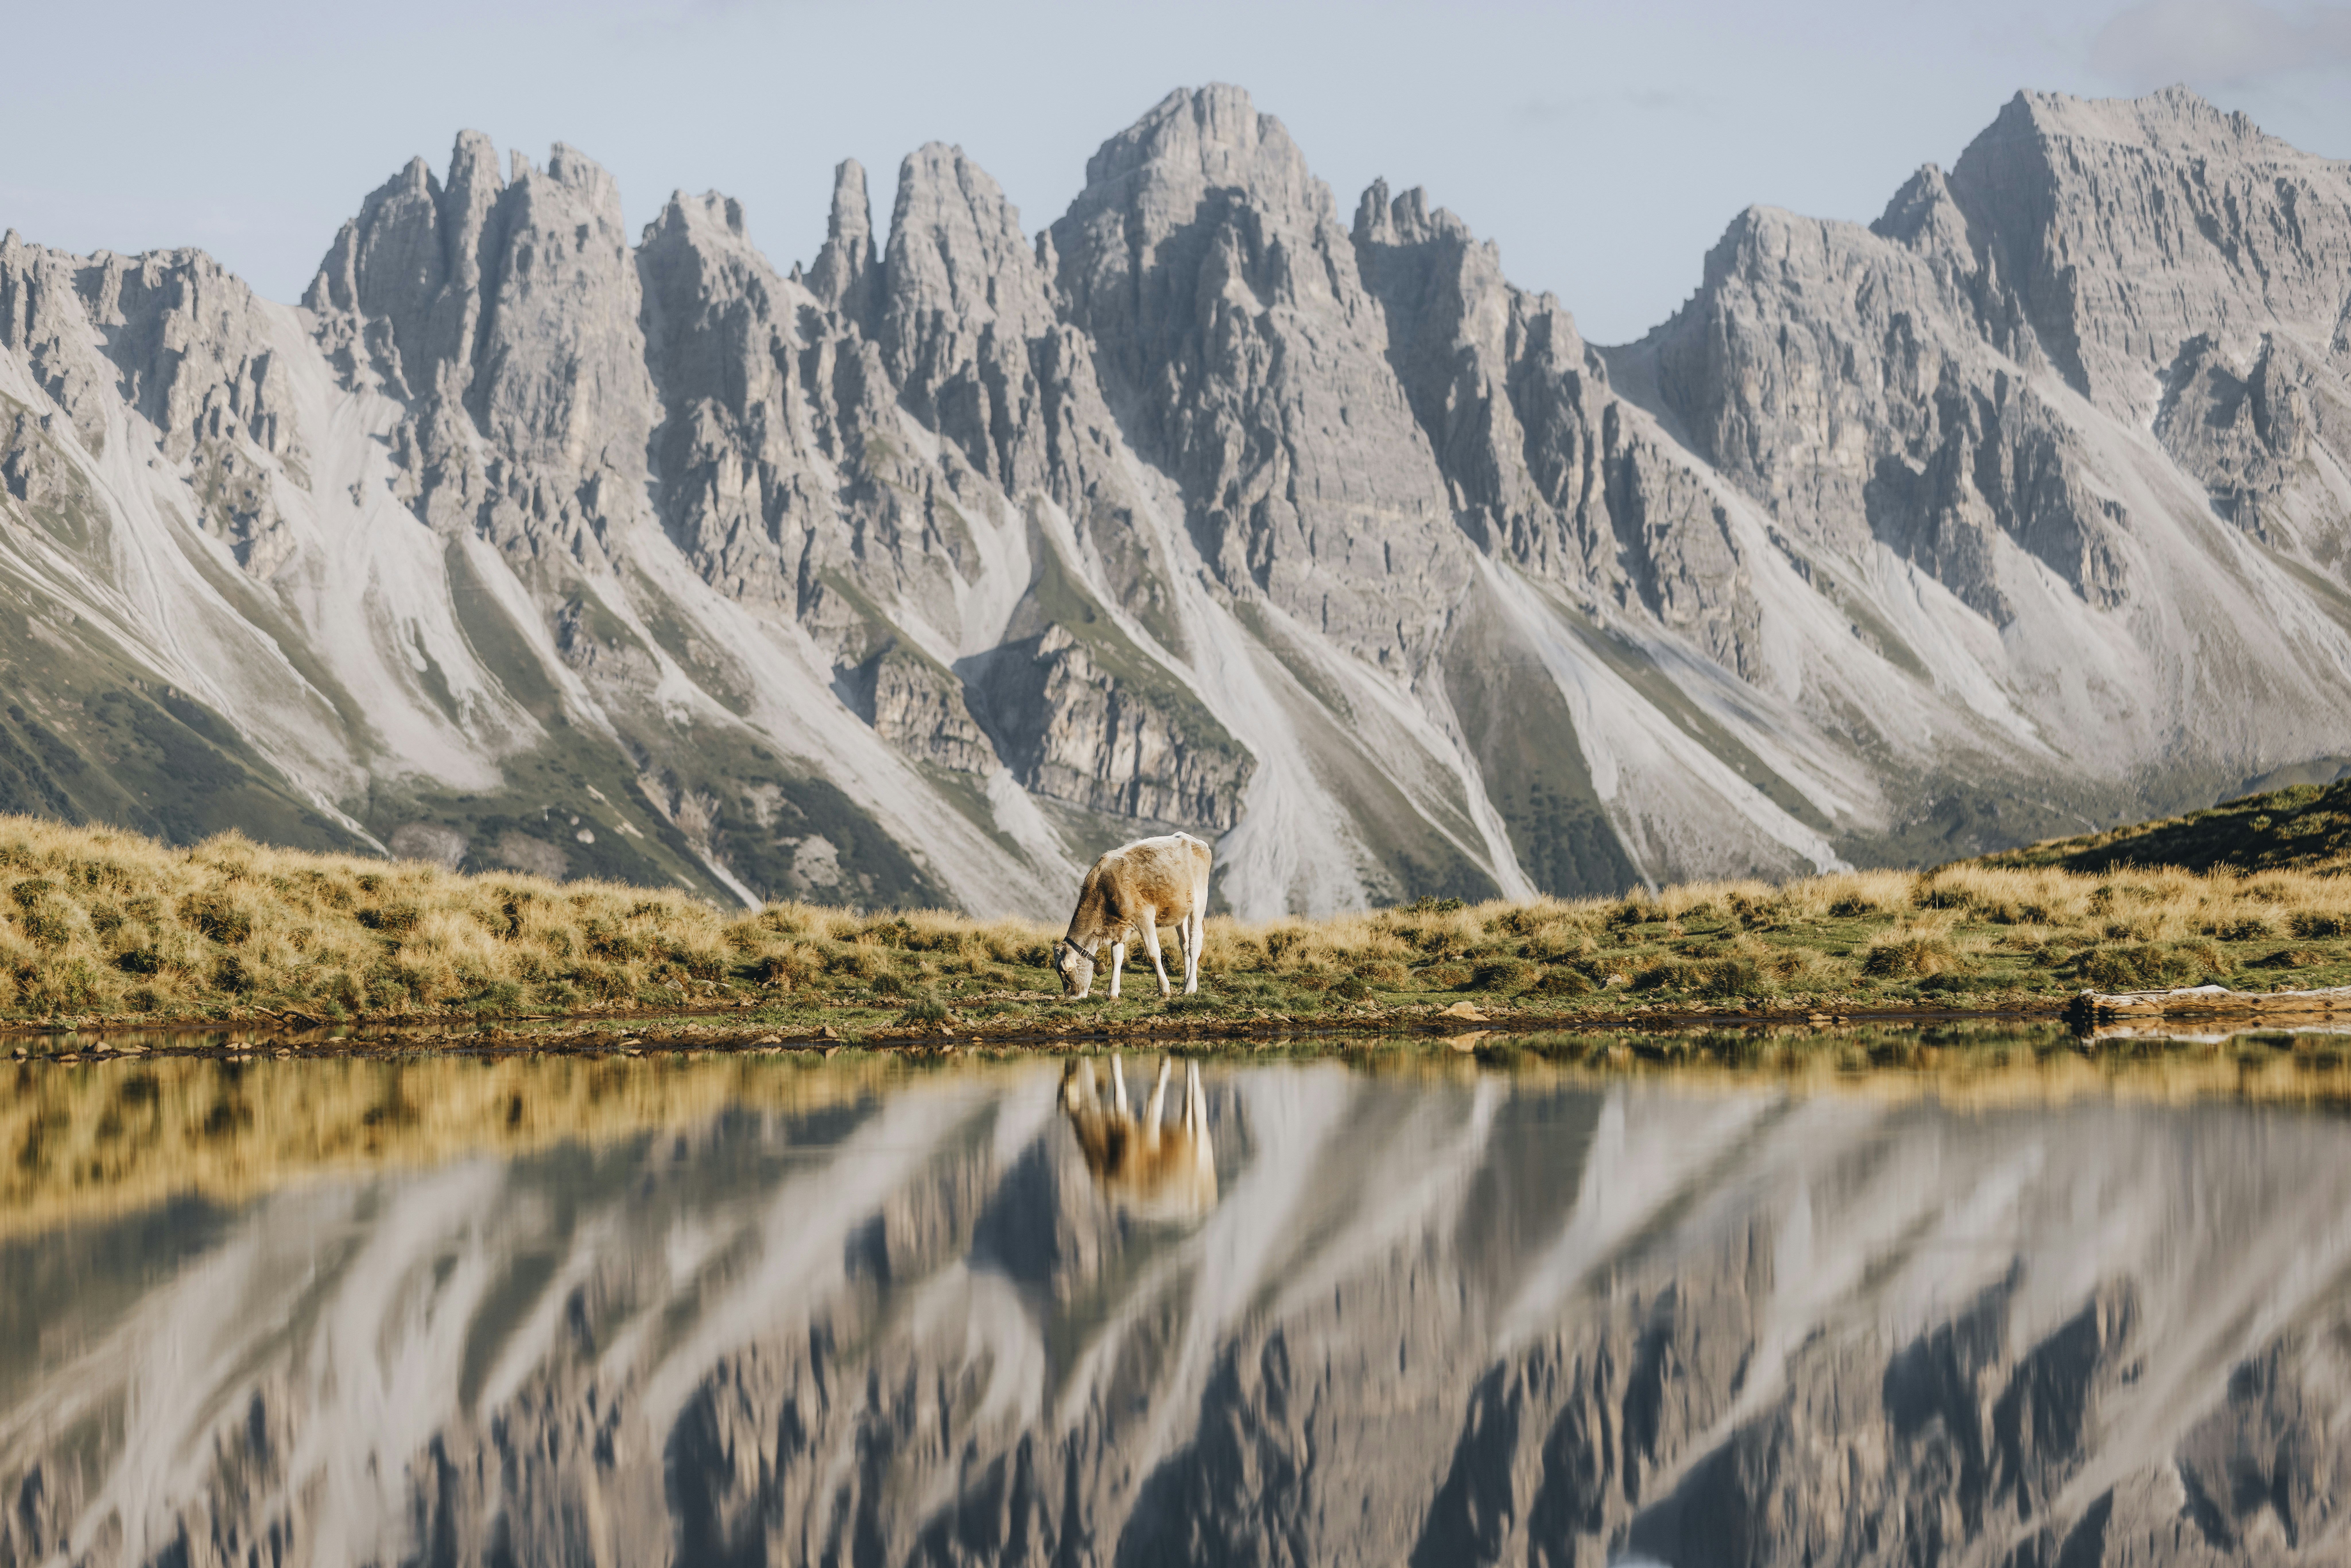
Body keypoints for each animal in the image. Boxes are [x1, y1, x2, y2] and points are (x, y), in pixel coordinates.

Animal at [1052, 832, 1212, 1000]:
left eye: (1065, 974)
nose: (1071, 998)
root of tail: (1190, 838)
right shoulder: (1119, 927)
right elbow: (1116, 957)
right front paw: (1112, 993)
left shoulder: (1145, 916)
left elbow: (1153, 953)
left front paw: (1164, 990)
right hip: (1181, 911)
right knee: (1185, 945)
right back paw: (1186, 985)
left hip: (1200, 901)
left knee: (1195, 942)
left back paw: (1191, 988)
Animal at [1060, 1053, 1217, 1219]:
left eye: (1071, 1070)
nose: (1073, 1062)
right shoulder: (1123, 1116)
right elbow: (1117, 1076)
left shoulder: (1148, 1135)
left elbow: (1155, 1099)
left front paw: (1165, 1064)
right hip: (1185, 1140)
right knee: (1188, 1103)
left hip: (1203, 1149)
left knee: (1200, 1102)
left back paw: (1192, 1062)